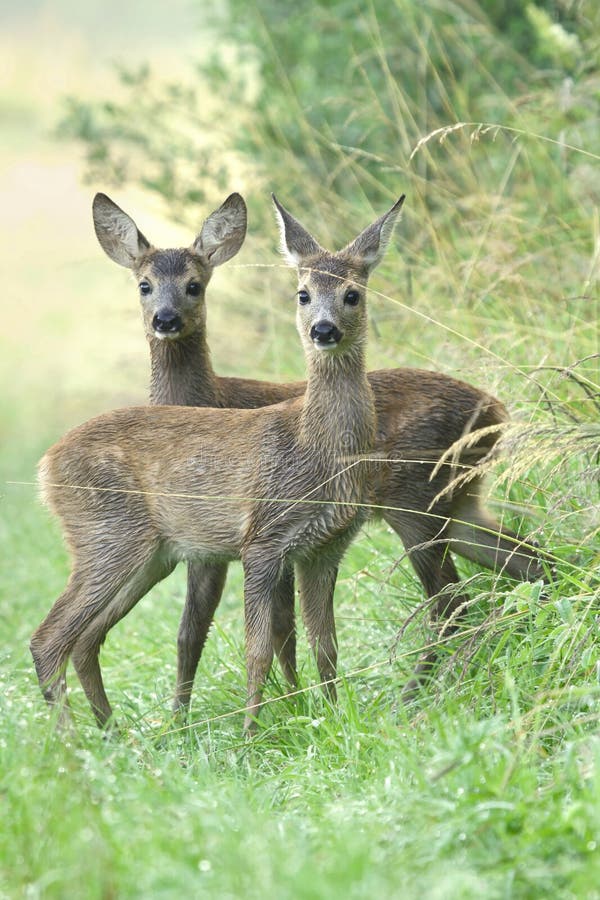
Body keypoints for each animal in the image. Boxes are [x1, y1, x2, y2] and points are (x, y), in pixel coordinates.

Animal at [31, 194, 406, 732]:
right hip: (108, 535)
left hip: (150, 554)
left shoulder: (325, 547)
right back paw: (77, 743)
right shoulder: (262, 542)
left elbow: (326, 646)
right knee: (49, 637)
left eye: (352, 294)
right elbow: (258, 649)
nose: (324, 330)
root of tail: (45, 466)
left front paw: (334, 719)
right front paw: (253, 733)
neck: (318, 448)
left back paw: (114, 735)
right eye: (303, 294)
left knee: (83, 637)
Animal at [88, 191, 549, 718]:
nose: (166, 320)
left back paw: (409, 699)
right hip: (460, 503)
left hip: (416, 503)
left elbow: (210, 630)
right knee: (530, 562)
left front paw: (208, 719)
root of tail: (496, 410)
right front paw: (292, 705)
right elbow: (264, 628)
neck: (206, 399)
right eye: (143, 285)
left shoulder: (230, 534)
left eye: (194, 285)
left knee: (451, 604)